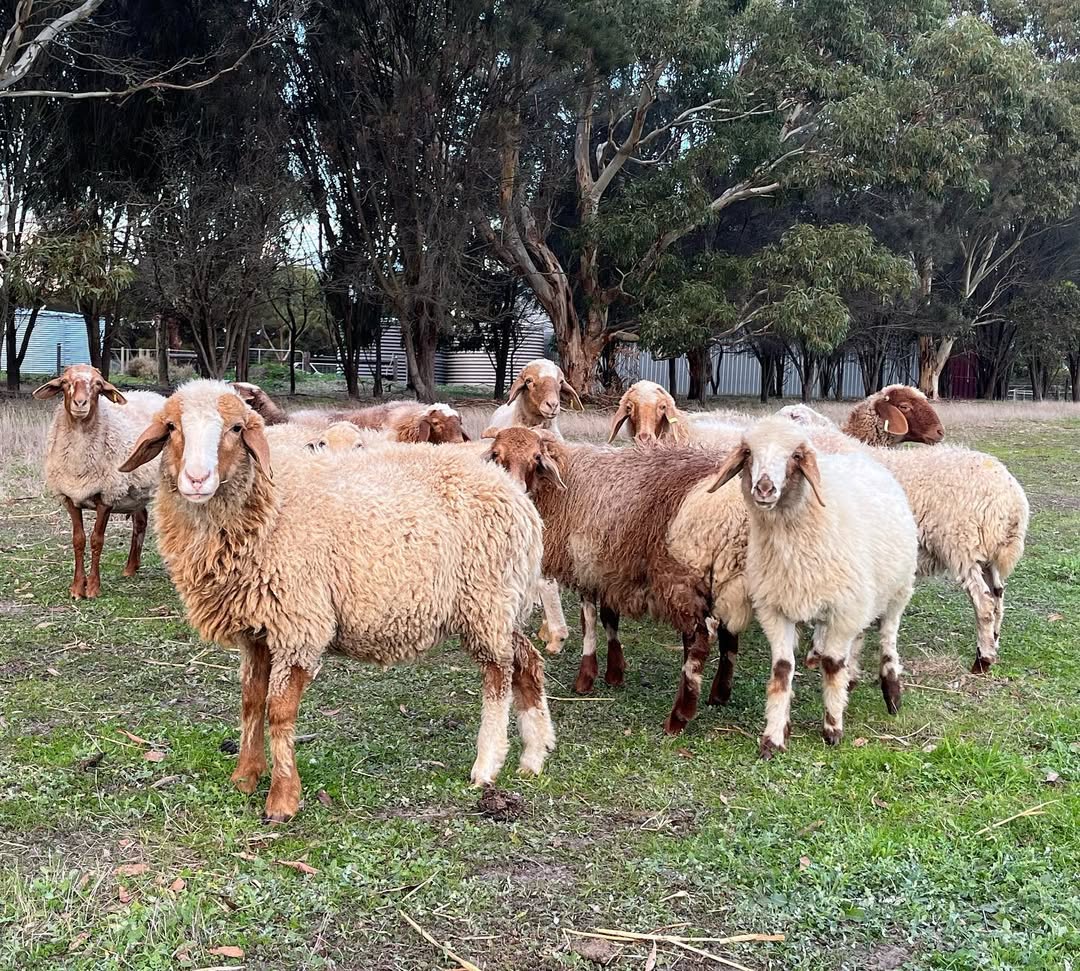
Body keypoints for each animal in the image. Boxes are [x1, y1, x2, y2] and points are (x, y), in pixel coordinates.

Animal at [32, 365, 165, 599]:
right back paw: (131, 568)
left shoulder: (106, 496)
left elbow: (97, 540)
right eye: (65, 382)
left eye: (98, 385)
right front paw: (77, 588)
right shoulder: (69, 497)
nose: (80, 403)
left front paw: (93, 587)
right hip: (136, 491)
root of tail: (154, 394)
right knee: (140, 520)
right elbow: (78, 540)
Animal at [119, 380, 553, 821]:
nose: (196, 478)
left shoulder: (299, 623)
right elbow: (251, 701)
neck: (272, 504)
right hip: (500, 605)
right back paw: (533, 755)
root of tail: (512, 491)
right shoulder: (256, 628)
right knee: (528, 661)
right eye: (172, 427)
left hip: (485, 600)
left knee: (498, 676)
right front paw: (245, 777)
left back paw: (487, 764)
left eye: (237, 428)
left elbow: (279, 711)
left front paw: (282, 799)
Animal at [483, 426, 753, 734]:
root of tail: (735, 511)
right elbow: (609, 618)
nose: (515, 489)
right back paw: (720, 694)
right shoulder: (607, 568)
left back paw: (679, 716)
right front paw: (614, 673)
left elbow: (588, 622)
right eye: (497, 455)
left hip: (683, 576)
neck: (565, 482)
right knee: (728, 635)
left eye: (536, 458)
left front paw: (585, 679)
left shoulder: (585, 566)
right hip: (726, 580)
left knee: (698, 641)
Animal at [709, 416, 918, 757]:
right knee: (858, 636)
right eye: (749, 453)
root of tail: (861, 458)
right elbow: (782, 670)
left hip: (898, 589)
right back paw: (852, 679)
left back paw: (892, 693)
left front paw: (832, 728)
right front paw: (774, 735)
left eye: (796, 456)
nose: (764, 487)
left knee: (887, 638)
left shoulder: (843, 608)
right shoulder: (775, 609)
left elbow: (832, 665)